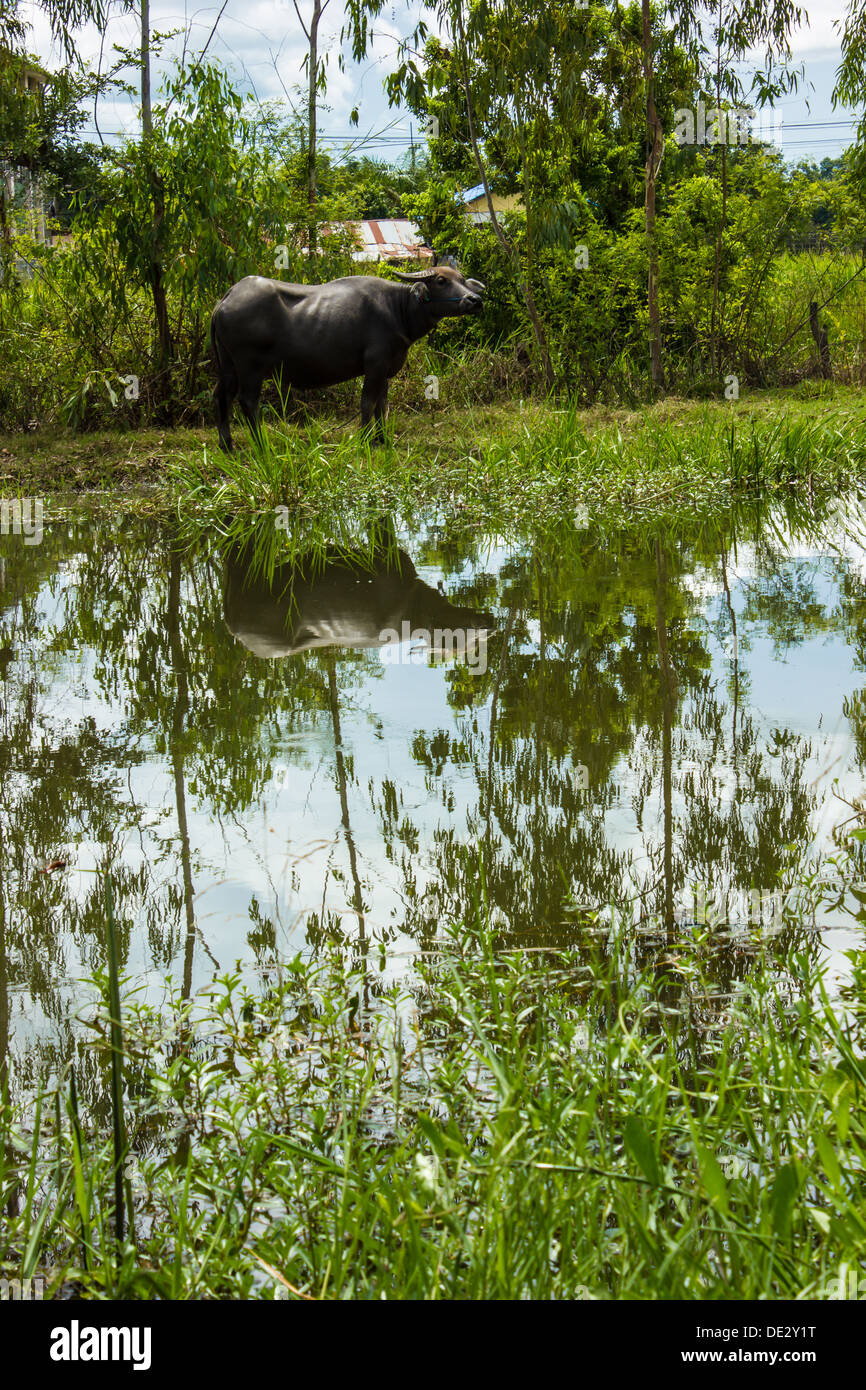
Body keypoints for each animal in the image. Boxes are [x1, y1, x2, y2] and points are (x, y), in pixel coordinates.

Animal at [210, 266, 485, 451]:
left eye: (462, 280)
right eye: (441, 280)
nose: (475, 300)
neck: (398, 308)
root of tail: (227, 298)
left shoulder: (385, 370)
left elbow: (382, 405)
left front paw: (382, 438)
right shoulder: (374, 365)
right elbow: (367, 403)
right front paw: (364, 438)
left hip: (228, 365)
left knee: (222, 396)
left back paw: (227, 444)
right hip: (250, 367)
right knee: (247, 400)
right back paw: (260, 442)